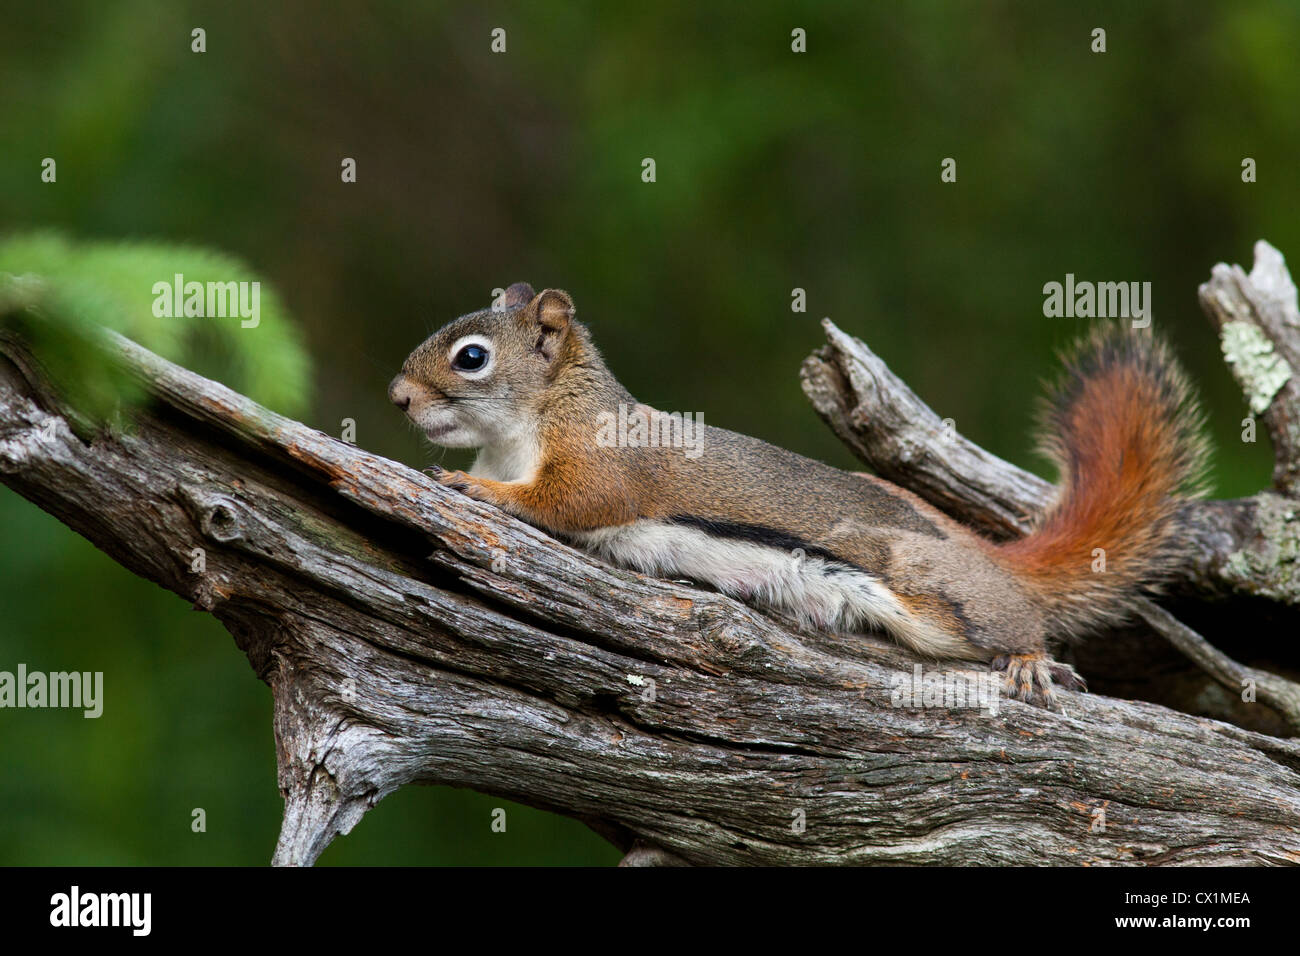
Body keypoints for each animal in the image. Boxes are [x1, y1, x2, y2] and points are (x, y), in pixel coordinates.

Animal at [389, 282, 1208, 710]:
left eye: (471, 358)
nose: (396, 398)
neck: (527, 427)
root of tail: (986, 554)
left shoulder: (604, 467)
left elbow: (565, 504)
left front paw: (476, 487)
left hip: (937, 595)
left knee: (1013, 617)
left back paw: (1034, 659)